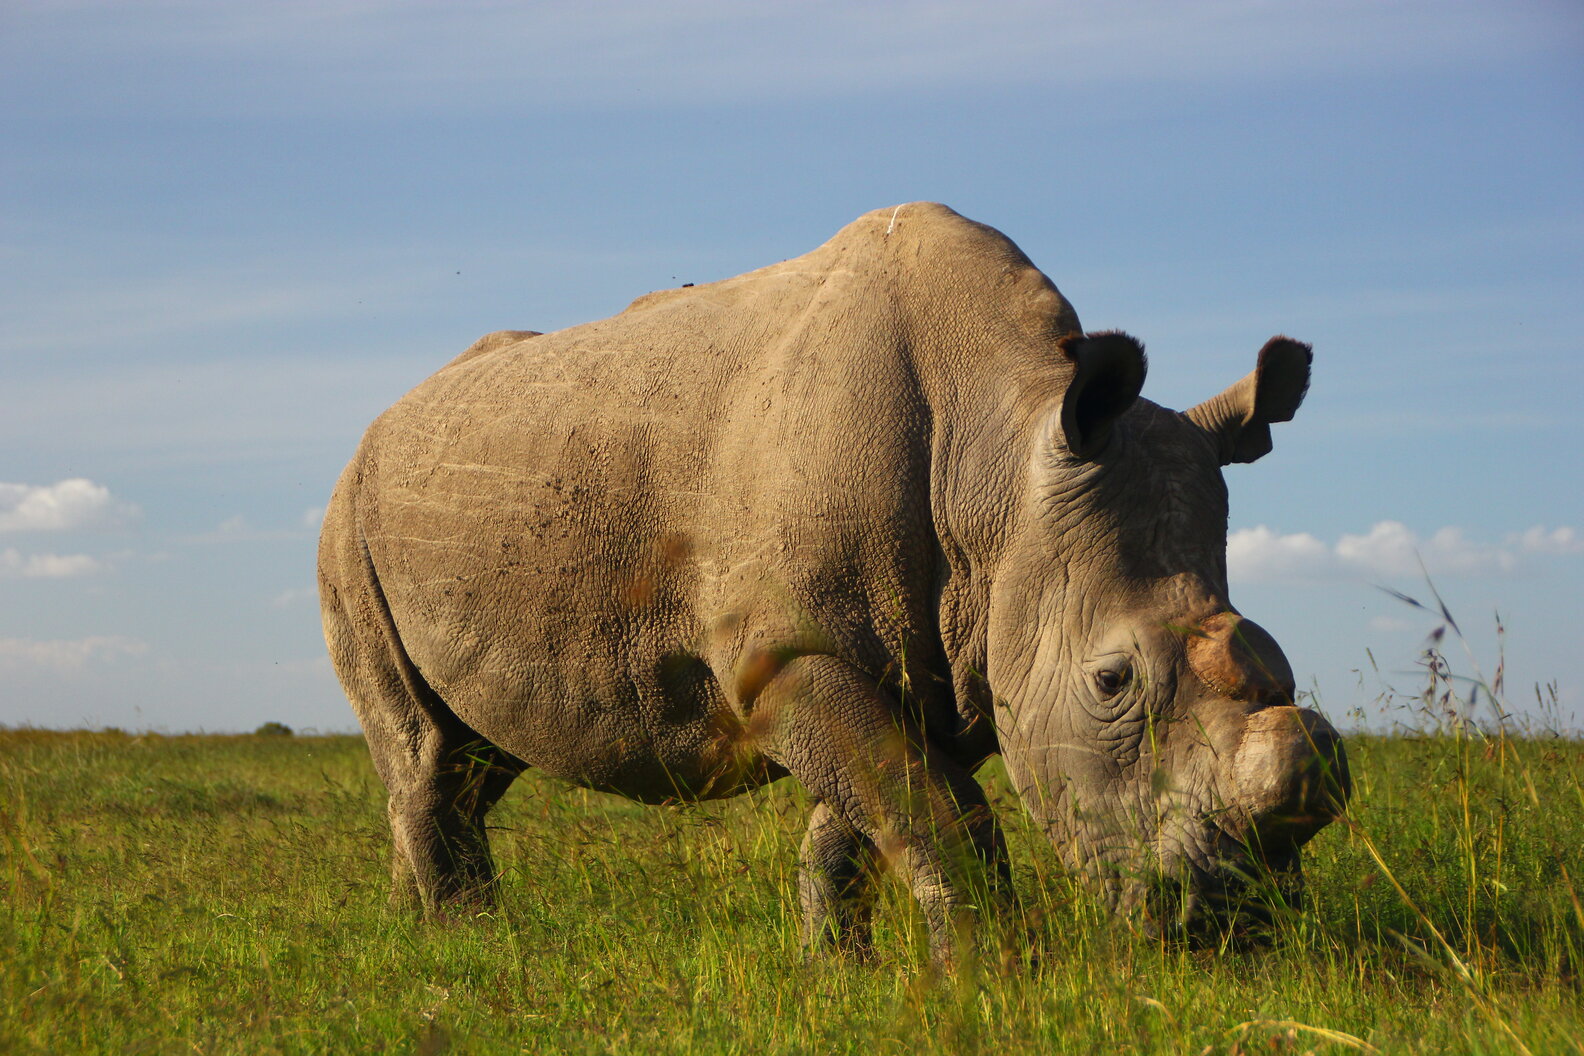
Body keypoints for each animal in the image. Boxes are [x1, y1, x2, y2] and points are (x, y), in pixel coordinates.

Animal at [318, 202, 1349, 963]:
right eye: (1111, 682)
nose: (1235, 930)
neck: (998, 462)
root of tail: (377, 426)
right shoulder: (787, 655)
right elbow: (936, 814)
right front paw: (988, 976)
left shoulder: (950, 654)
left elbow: (862, 820)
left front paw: (838, 966)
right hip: (347, 527)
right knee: (425, 752)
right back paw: (464, 951)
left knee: (472, 754)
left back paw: (419, 931)